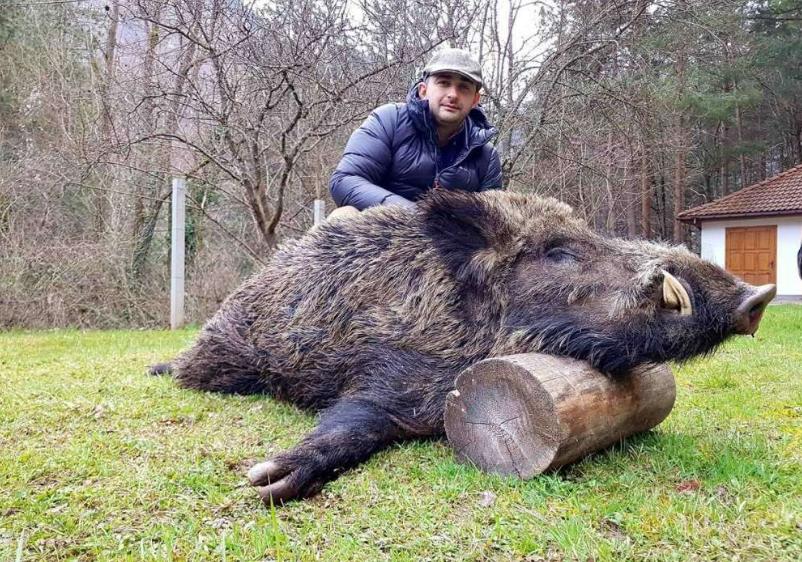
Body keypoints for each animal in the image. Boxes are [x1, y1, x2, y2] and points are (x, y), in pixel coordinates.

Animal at [154, 189, 775, 504]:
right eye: (559, 252)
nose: (758, 294)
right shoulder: (386, 374)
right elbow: (351, 422)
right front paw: (264, 481)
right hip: (220, 354)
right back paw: (159, 369)